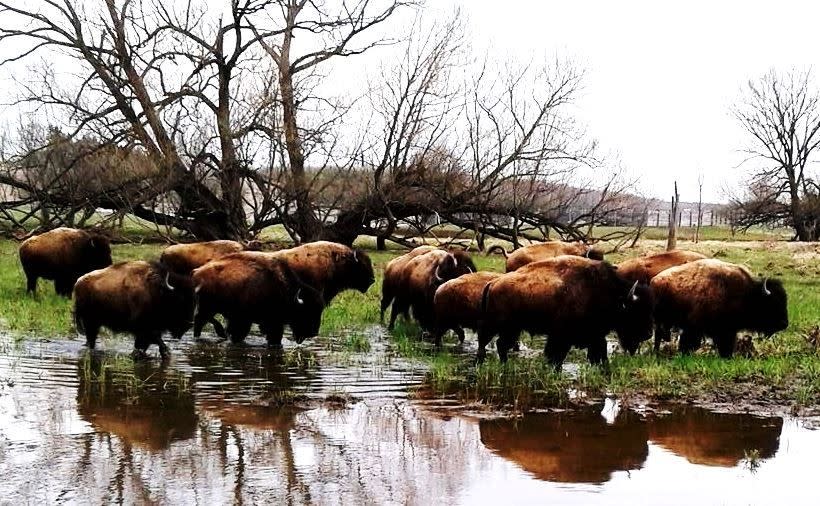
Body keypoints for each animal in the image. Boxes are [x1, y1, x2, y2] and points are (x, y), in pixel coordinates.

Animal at [192, 252, 325, 347]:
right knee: (200, 320)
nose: (314, 332)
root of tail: (198, 272)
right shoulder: (263, 322)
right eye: (306, 312)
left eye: (319, 311)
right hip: (207, 307)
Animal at [478, 256, 654, 365]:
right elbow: (557, 356)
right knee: (488, 343)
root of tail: (493, 283)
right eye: (636, 312)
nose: (648, 334)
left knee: (499, 344)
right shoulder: (562, 337)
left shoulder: (594, 335)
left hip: (512, 329)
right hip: (501, 327)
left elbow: (599, 354)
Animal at [651, 259, 788, 357]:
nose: (784, 324)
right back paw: (656, 352)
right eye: (773, 303)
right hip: (661, 319)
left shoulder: (726, 330)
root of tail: (655, 280)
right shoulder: (701, 328)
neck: (747, 294)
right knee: (658, 335)